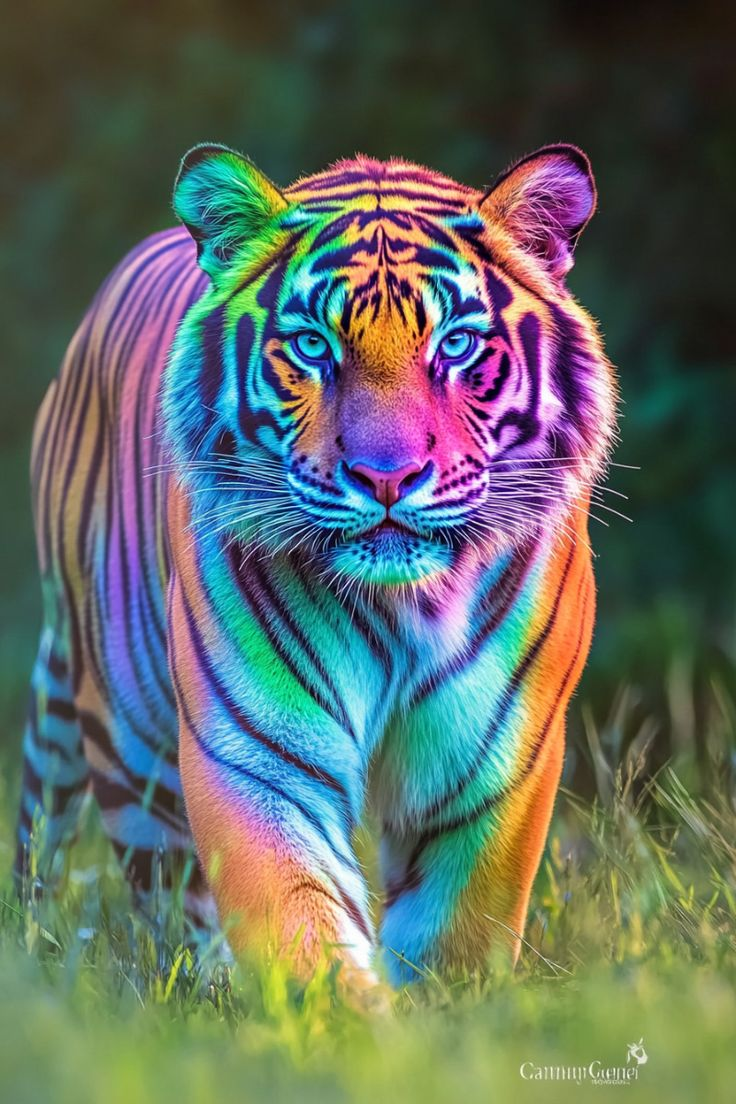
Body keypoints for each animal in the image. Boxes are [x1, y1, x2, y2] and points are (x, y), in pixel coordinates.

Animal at [15, 141, 616, 999]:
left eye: (456, 345)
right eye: (312, 347)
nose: (387, 476)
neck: (405, 610)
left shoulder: (491, 758)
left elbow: (456, 932)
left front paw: (448, 1014)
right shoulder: (259, 756)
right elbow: (301, 927)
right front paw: (342, 1023)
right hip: (126, 734)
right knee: (163, 891)